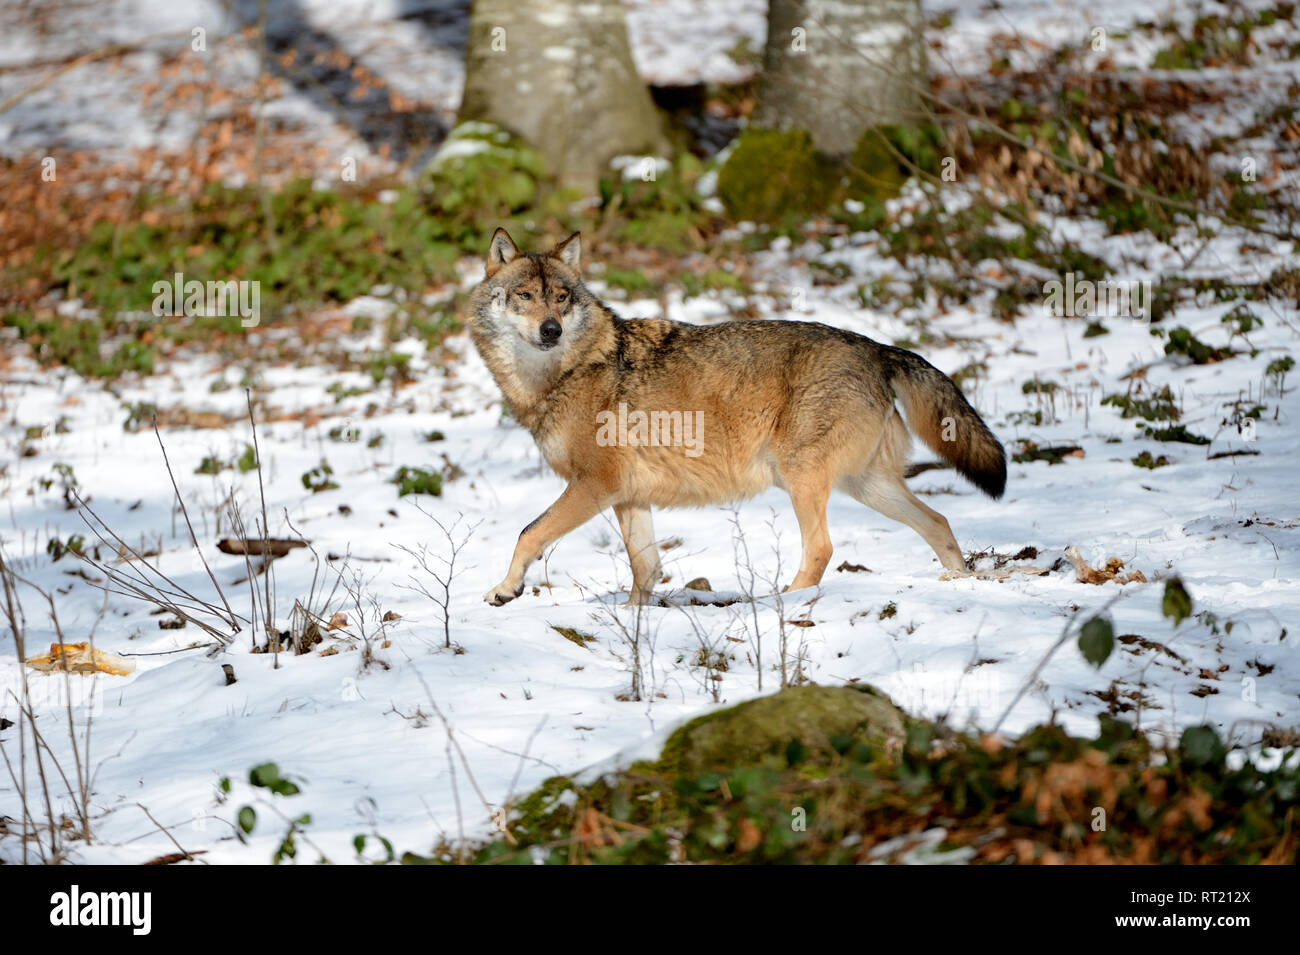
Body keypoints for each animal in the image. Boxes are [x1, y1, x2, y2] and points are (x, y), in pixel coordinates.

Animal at [467, 228, 1006, 606]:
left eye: (561, 297)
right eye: (525, 296)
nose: (551, 330)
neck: (562, 373)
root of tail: (876, 347)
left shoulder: (595, 485)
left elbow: (529, 532)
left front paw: (506, 589)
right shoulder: (628, 497)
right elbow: (647, 568)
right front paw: (634, 619)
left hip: (803, 477)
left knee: (823, 548)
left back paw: (784, 602)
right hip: (866, 485)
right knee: (939, 522)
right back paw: (959, 581)